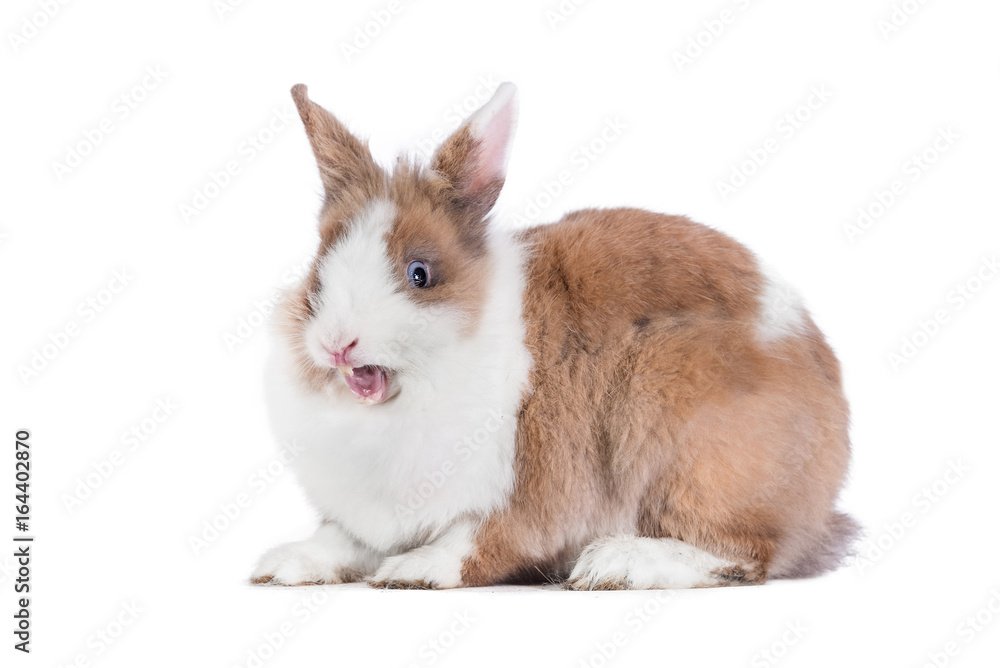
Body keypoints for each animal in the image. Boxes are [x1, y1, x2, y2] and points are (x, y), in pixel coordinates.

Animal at [250, 81, 858, 590]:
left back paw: (616, 564)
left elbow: (474, 543)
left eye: (419, 273)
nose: (337, 344)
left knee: (743, 553)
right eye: (319, 275)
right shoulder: (364, 514)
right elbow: (339, 539)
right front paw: (281, 564)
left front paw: (411, 570)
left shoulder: (526, 494)